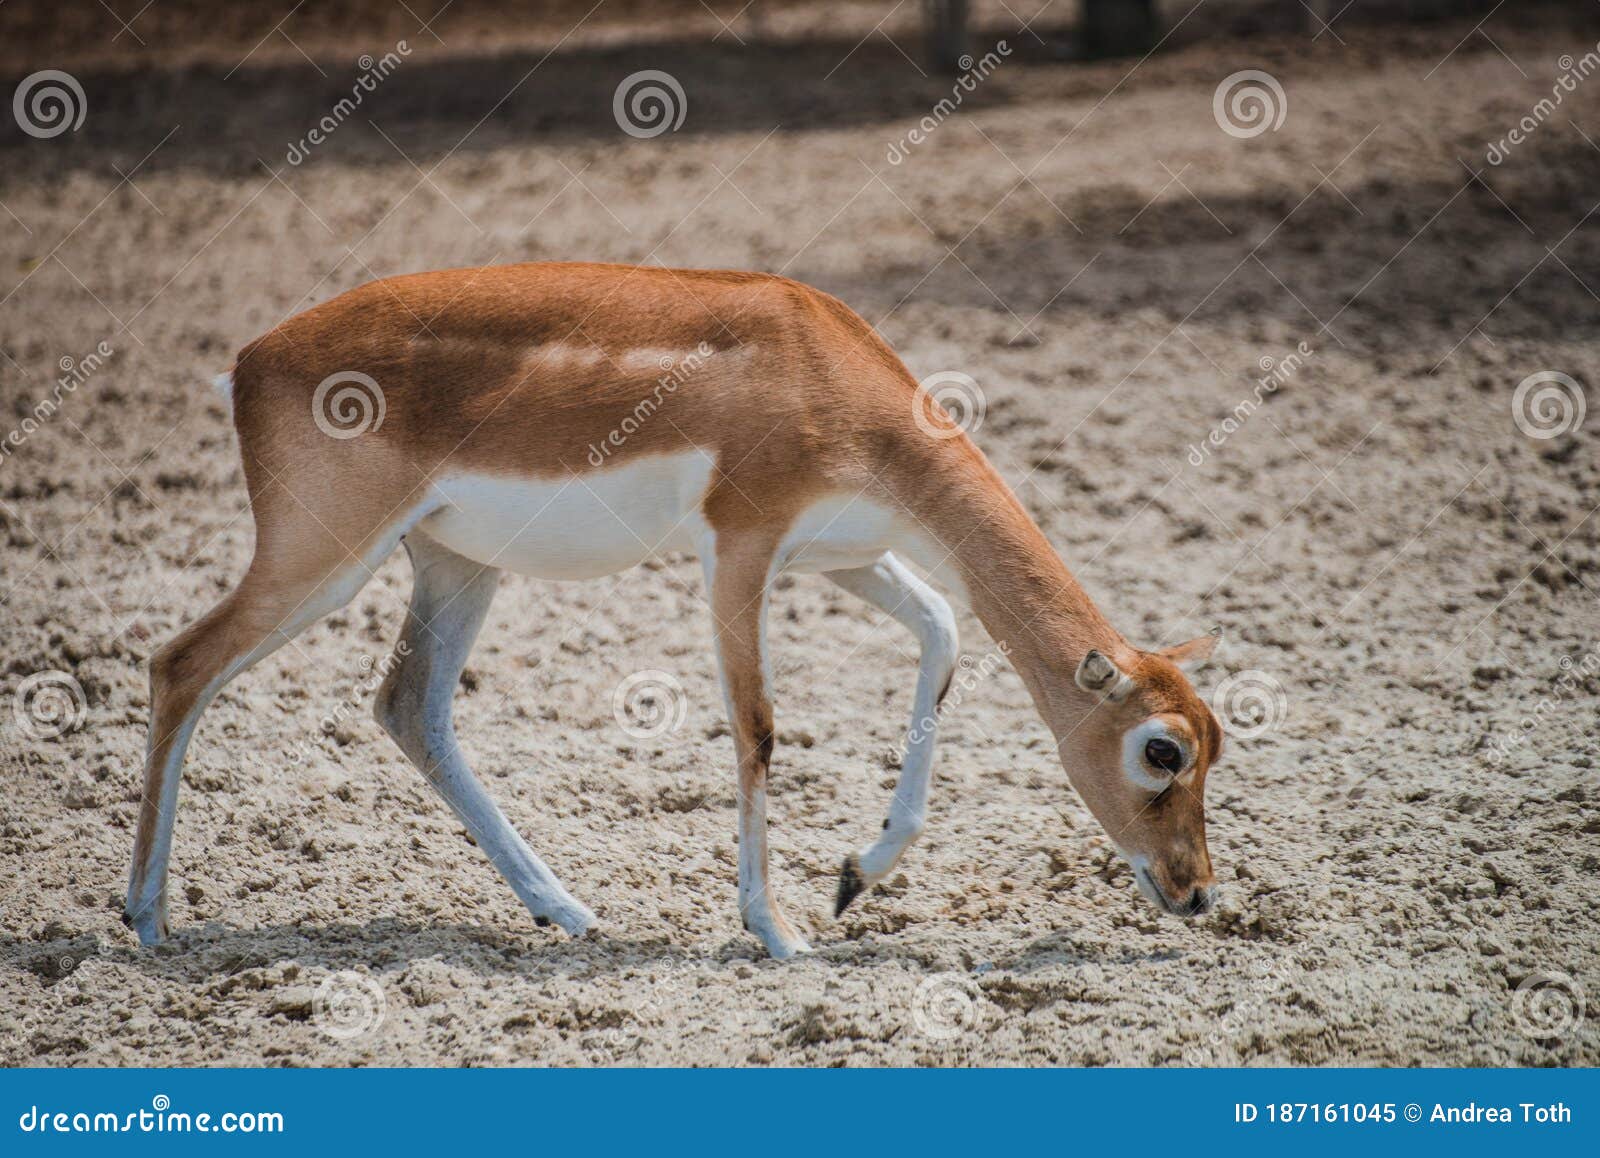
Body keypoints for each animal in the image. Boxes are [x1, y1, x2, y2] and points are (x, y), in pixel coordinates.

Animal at [125, 262, 1226, 960]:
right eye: (1160, 749)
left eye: (1216, 741)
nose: (1197, 891)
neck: (825, 369)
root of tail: (249, 360)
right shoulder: (741, 548)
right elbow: (758, 727)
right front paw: (779, 932)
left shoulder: (847, 555)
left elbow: (945, 638)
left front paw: (852, 877)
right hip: (324, 557)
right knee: (180, 662)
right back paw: (145, 921)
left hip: (454, 563)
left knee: (408, 706)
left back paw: (565, 911)